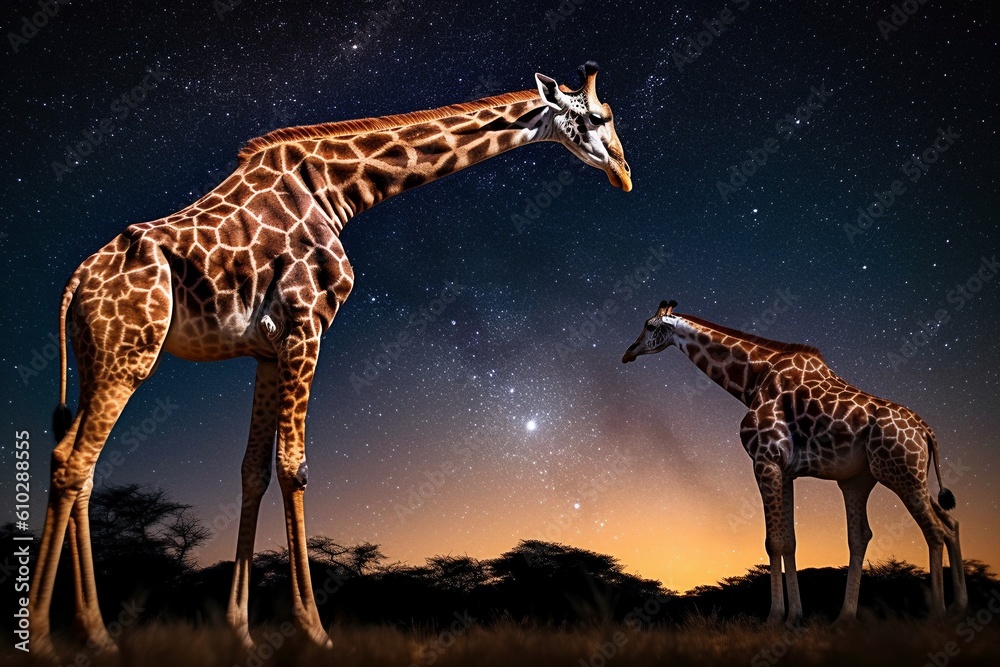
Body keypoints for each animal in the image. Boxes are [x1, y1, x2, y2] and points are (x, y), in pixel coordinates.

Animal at [30, 62, 631, 656]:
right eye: (595, 117)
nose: (624, 174)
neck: (338, 191)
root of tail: (75, 283)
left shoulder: (266, 351)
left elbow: (252, 472)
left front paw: (240, 631)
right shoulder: (306, 325)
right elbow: (293, 468)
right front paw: (313, 629)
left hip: (97, 356)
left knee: (76, 460)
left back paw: (93, 632)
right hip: (129, 351)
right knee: (75, 462)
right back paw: (44, 634)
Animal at [621, 300, 968, 623]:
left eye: (649, 325)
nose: (628, 353)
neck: (752, 380)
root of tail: (926, 431)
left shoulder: (764, 459)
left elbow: (773, 542)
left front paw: (774, 617)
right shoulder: (785, 470)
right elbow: (790, 541)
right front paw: (794, 617)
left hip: (899, 474)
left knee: (934, 531)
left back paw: (937, 612)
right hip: (874, 479)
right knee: (931, 526)